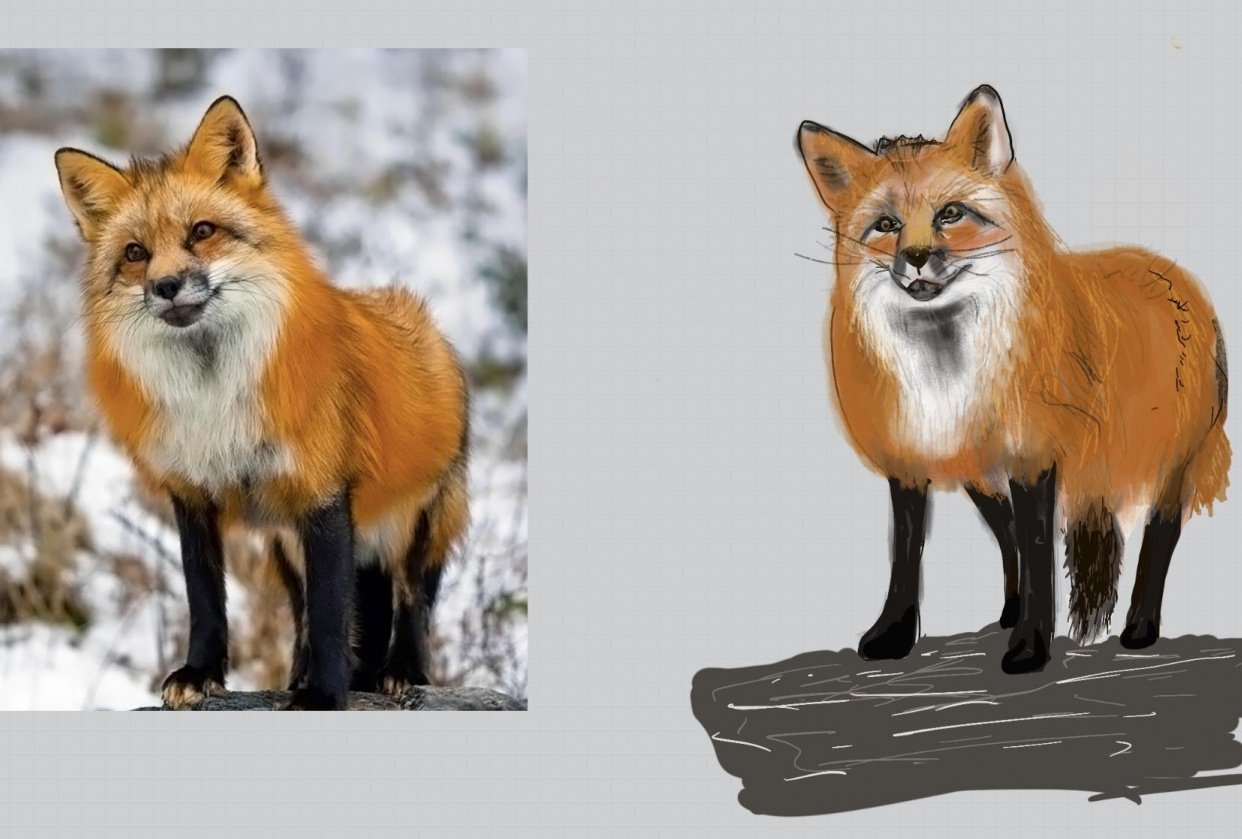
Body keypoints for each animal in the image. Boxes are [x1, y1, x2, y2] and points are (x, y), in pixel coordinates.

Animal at [55, 96, 471, 709]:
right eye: (135, 253)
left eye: (202, 231)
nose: (166, 286)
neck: (214, 398)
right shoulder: (191, 495)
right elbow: (207, 600)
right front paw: (201, 673)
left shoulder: (322, 495)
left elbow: (331, 614)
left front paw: (323, 695)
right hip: (287, 545)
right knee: (318, 611)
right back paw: (311, 676)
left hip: (416, 525)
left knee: (411, 600)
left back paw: (400, 672)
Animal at [797, 86, 1229, 673]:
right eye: (886, 225)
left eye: (950, 214)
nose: (915, 258)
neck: (947, 374)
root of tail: (1174, 271)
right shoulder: (916, 460)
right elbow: (912, 555)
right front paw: (895, 635)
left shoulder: (1034, 454)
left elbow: (1039, 549)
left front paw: (1030, 645)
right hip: (983, 472)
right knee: (1005, 531)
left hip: (1172, 462)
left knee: (1161, 535)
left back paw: (1141, 627)